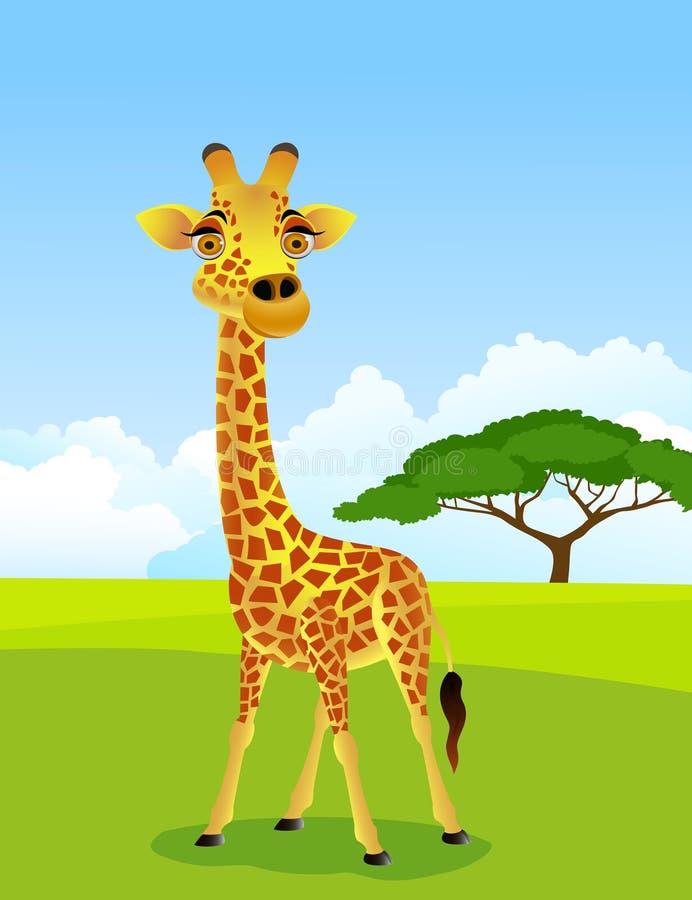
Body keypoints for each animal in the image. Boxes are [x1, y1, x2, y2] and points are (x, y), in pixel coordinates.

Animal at [137, 143, 469, 866]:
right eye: (206, 238)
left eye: (298, 239)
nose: (277, 297)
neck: (260, 547)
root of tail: (420, 575)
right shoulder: (257, 649)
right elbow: (242, 730)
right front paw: (212, 829)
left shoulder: (319, 650)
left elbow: (354, 740)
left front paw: (375, 849)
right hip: (344, 659)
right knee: (328, 718)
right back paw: (292, 816)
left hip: (402, 645)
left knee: (418, 720)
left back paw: (450, 826)